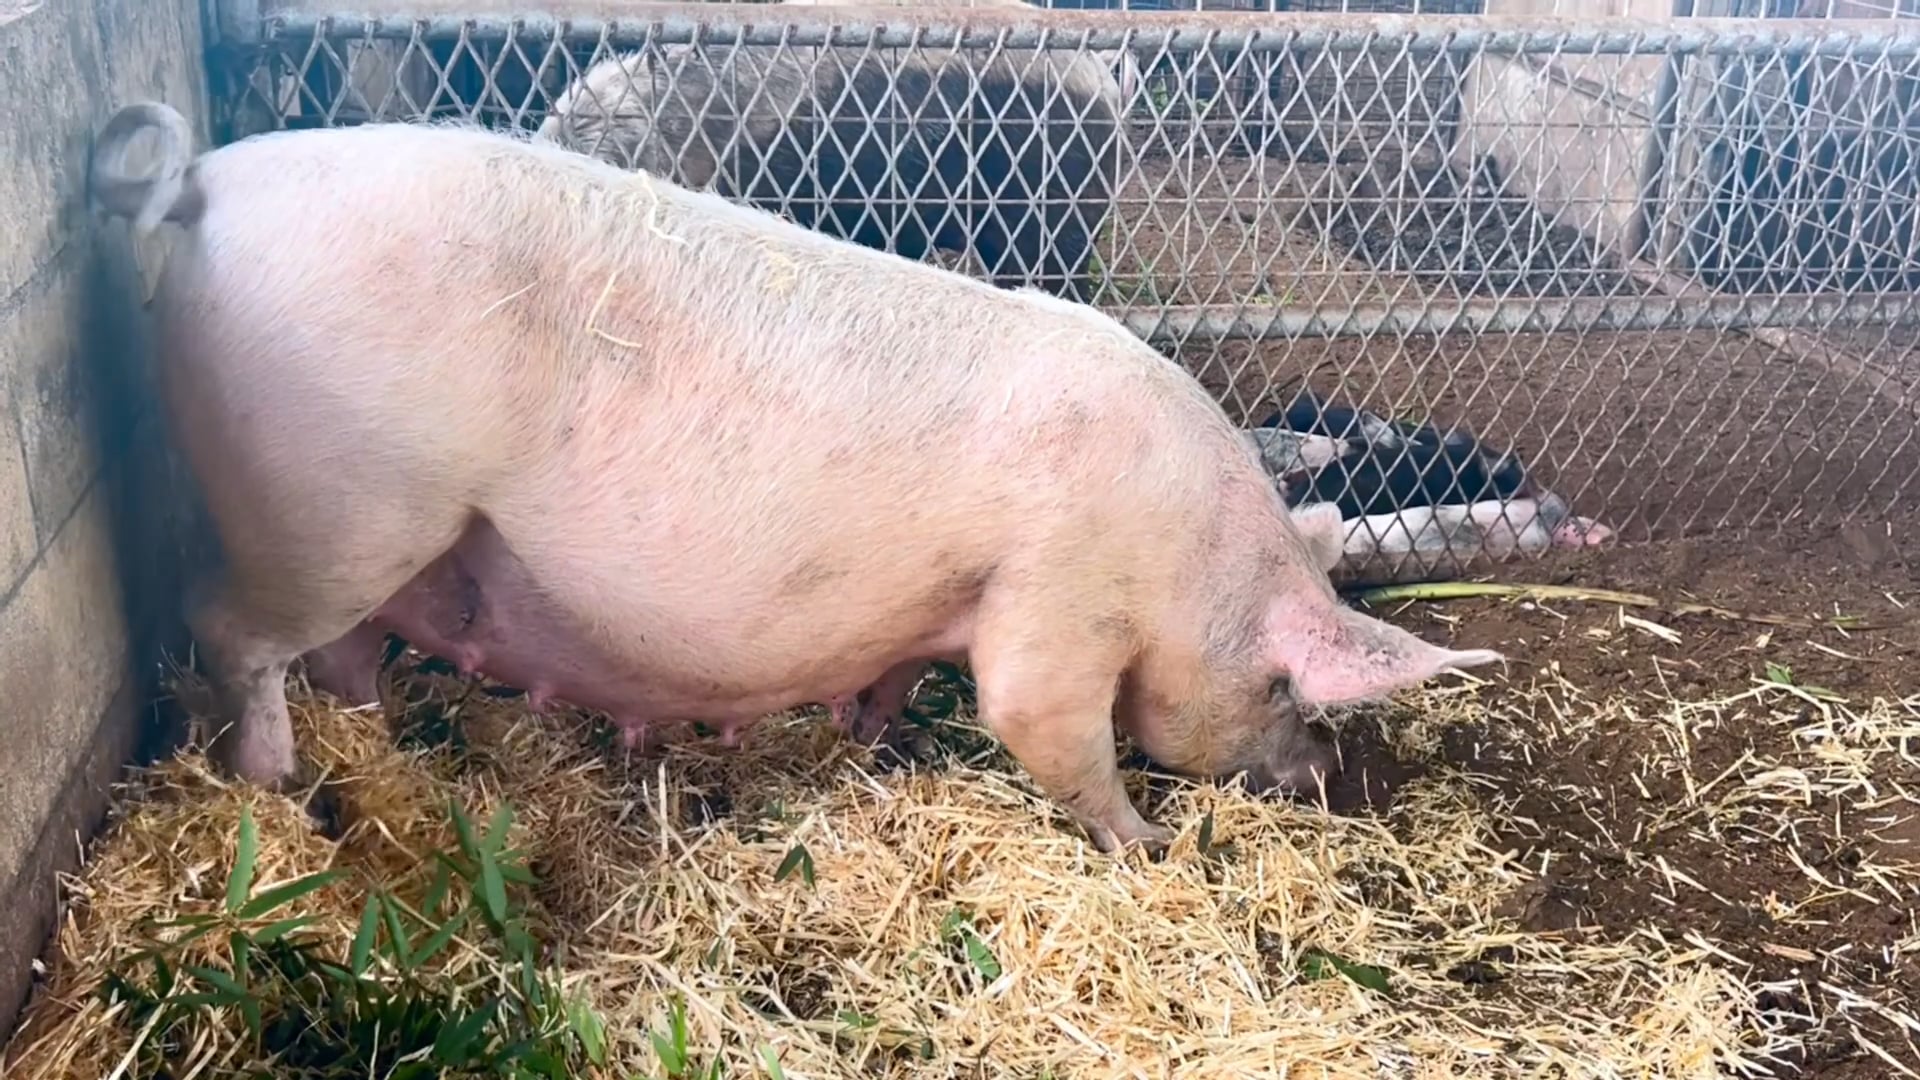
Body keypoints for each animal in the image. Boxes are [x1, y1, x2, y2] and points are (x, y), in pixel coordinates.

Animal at [90, 101, 1500, 853]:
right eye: (1284, 682)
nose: (1321, 775)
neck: (1189, 559)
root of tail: (200, 187)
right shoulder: (1058, 605)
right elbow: (1049, 730)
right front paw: (1148, 848)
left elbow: (890, 682)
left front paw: (880, 743)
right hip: (335, 505)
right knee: (235, 631)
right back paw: (278, 791)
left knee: (341, 654)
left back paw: (370, 744)